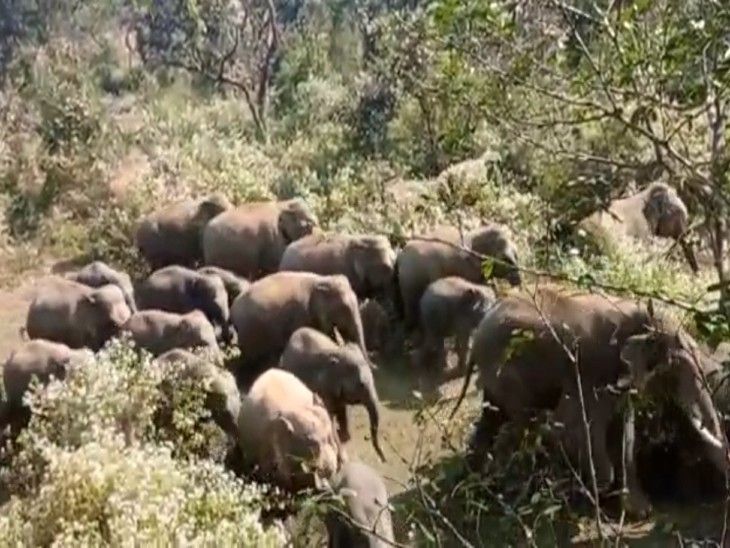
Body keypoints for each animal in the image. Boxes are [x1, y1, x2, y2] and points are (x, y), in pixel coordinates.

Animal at [280, 327, 385, 461]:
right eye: (361, 384)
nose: (383, 459)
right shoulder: (323, 390)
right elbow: (329, 418)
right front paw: (342, 457)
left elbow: (343, 412)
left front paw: (343, 437)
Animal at [453, 286, 729, 516]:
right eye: (674, 369)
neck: (644, 319)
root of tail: (480, 329)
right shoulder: (593, 369)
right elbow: (574, 424)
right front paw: (599, 490)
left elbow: (624, 432)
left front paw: (639, 510)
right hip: (509, 371)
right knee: (520, 423)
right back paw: (506, 496)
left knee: (492, 419)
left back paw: (475, 485)